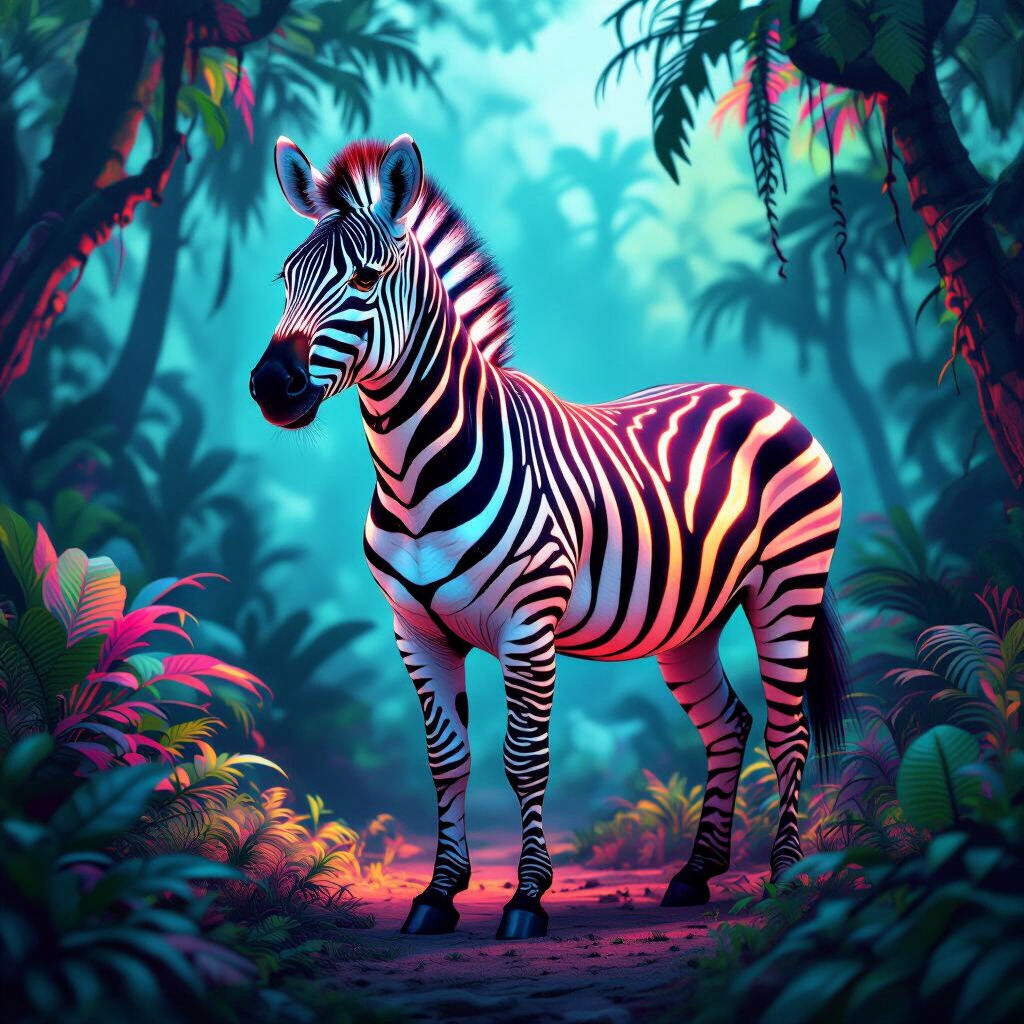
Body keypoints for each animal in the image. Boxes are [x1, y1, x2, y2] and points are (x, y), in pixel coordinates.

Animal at [249, 134, 848, 940]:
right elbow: (448, 760)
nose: (269, 386)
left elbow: (524, 758)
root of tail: (761, 397)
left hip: (788, 587)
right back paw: (695, 874)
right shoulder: (415, 631)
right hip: (692, 619)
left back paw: (786, 874)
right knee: (730, 721)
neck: (414, 473)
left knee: (787, 729)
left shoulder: (528, 627)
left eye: (366, 279)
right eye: (285, 279)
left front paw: (527, 897)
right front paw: (439, 893)